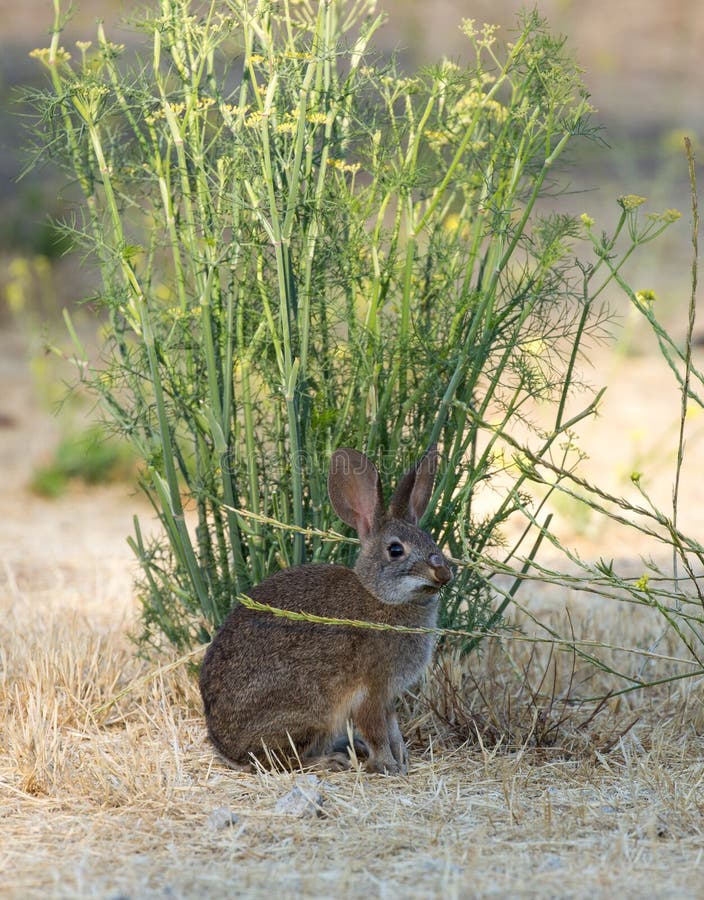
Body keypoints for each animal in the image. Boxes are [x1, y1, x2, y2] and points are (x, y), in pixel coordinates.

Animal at [199, 444, 452, 774]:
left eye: (431, 540)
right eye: (396, 550)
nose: (443, 574)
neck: (379, 597)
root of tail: (226, 749)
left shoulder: (388, 696)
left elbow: (393, 729)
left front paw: (403, 758)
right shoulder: (370, 691)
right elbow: (376, 731)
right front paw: (388, 766)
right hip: (311, 714)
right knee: (283, 761)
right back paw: (330, 760)